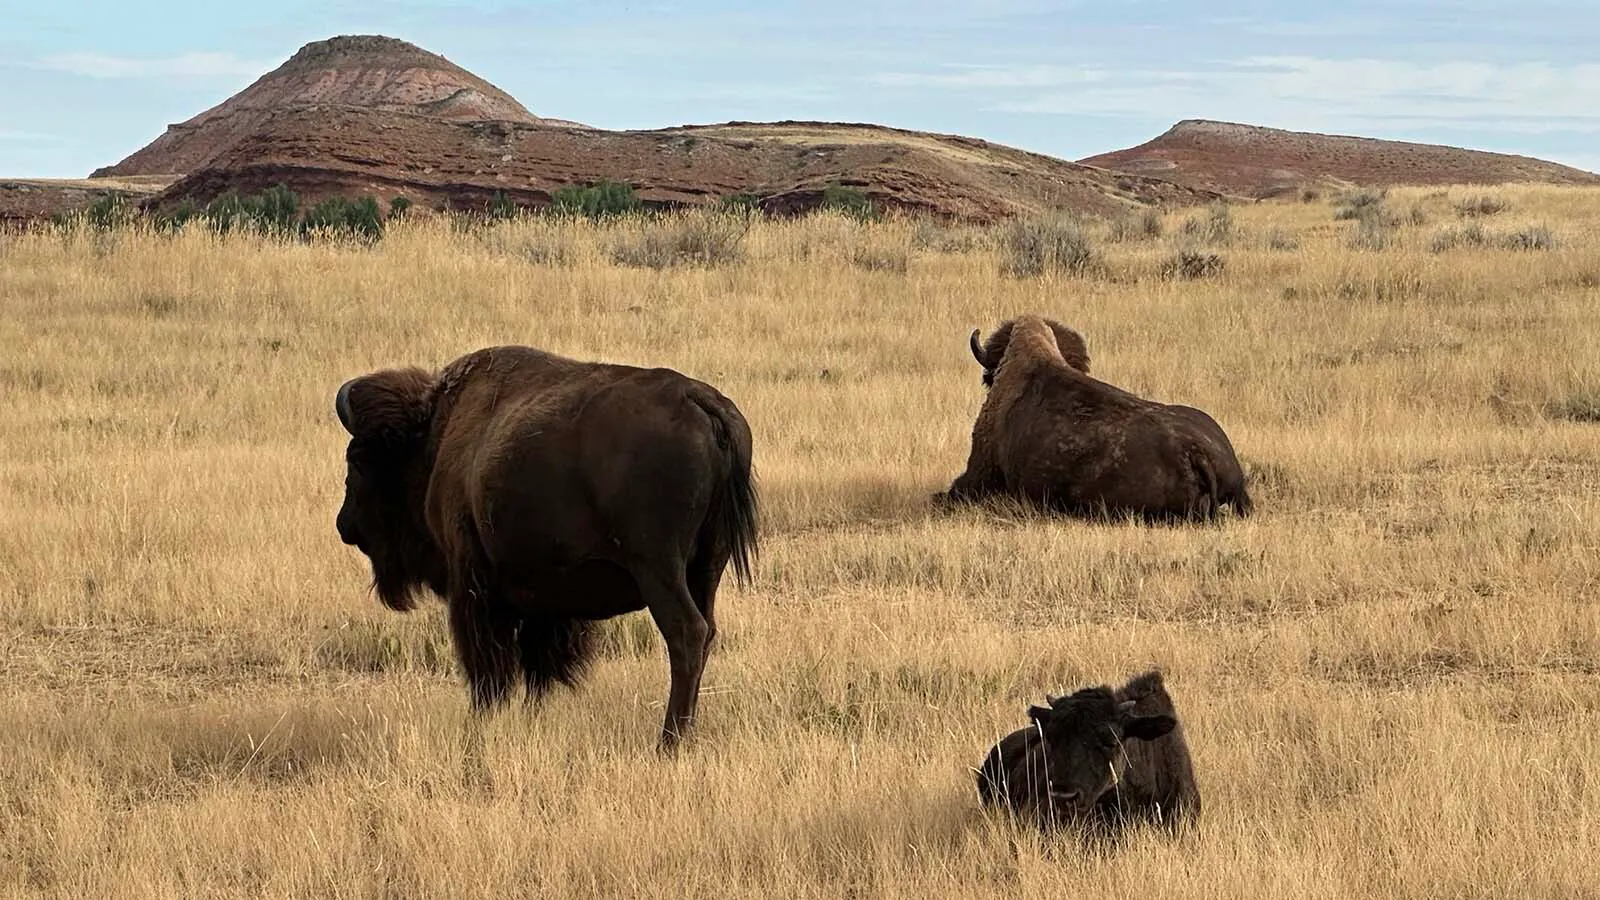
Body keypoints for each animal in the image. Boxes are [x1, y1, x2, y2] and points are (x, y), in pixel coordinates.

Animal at [333, 344, 759, 753]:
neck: (435, 434)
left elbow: (489, 671)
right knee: (707, 633)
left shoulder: (473, 587)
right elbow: (539, 670)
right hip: (707, 568)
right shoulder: (544, 601)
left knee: (686, 633)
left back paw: (669, 742)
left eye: (357, 459)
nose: (344, 524)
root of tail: (699, 402)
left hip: (658, 570)